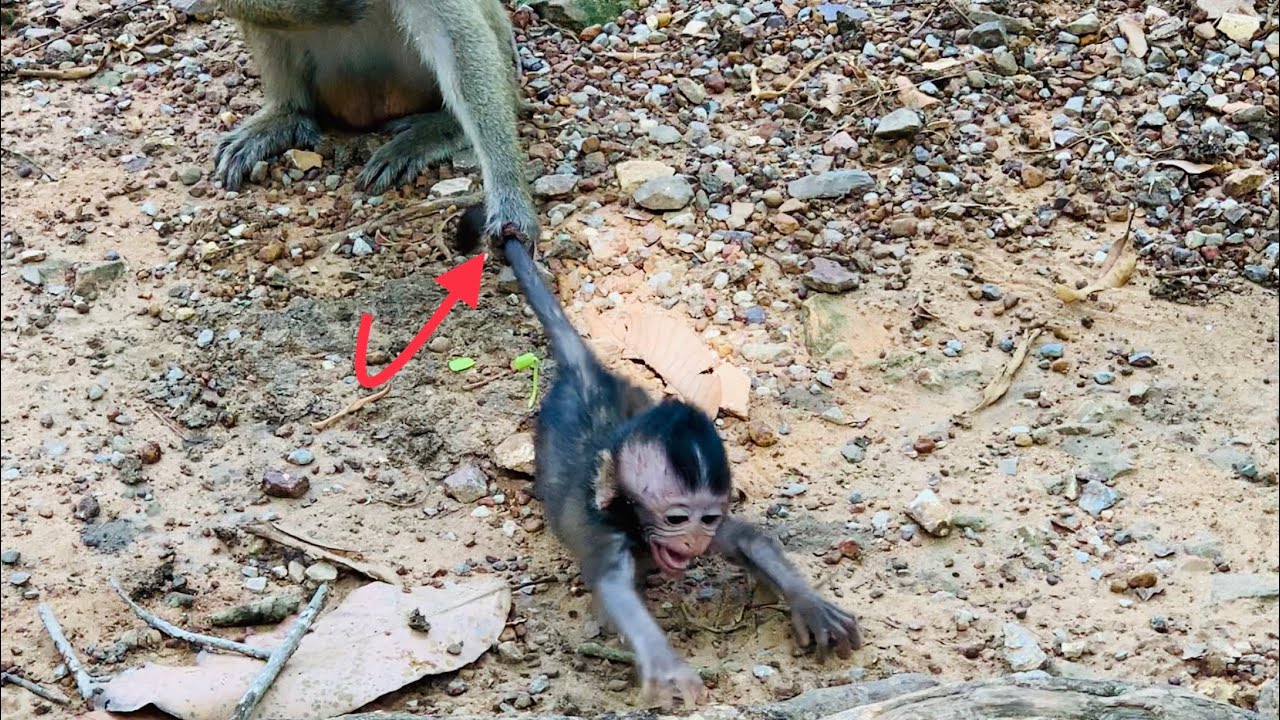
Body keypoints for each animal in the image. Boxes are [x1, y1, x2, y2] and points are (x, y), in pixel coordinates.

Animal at [474, 223, 864, 707]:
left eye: (706, 519)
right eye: (677, 518)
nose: (693, 541)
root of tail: (586, 376)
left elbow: (749, 540)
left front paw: (809, 604)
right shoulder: (608, 533)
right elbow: (614, 586)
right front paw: (664, 663)